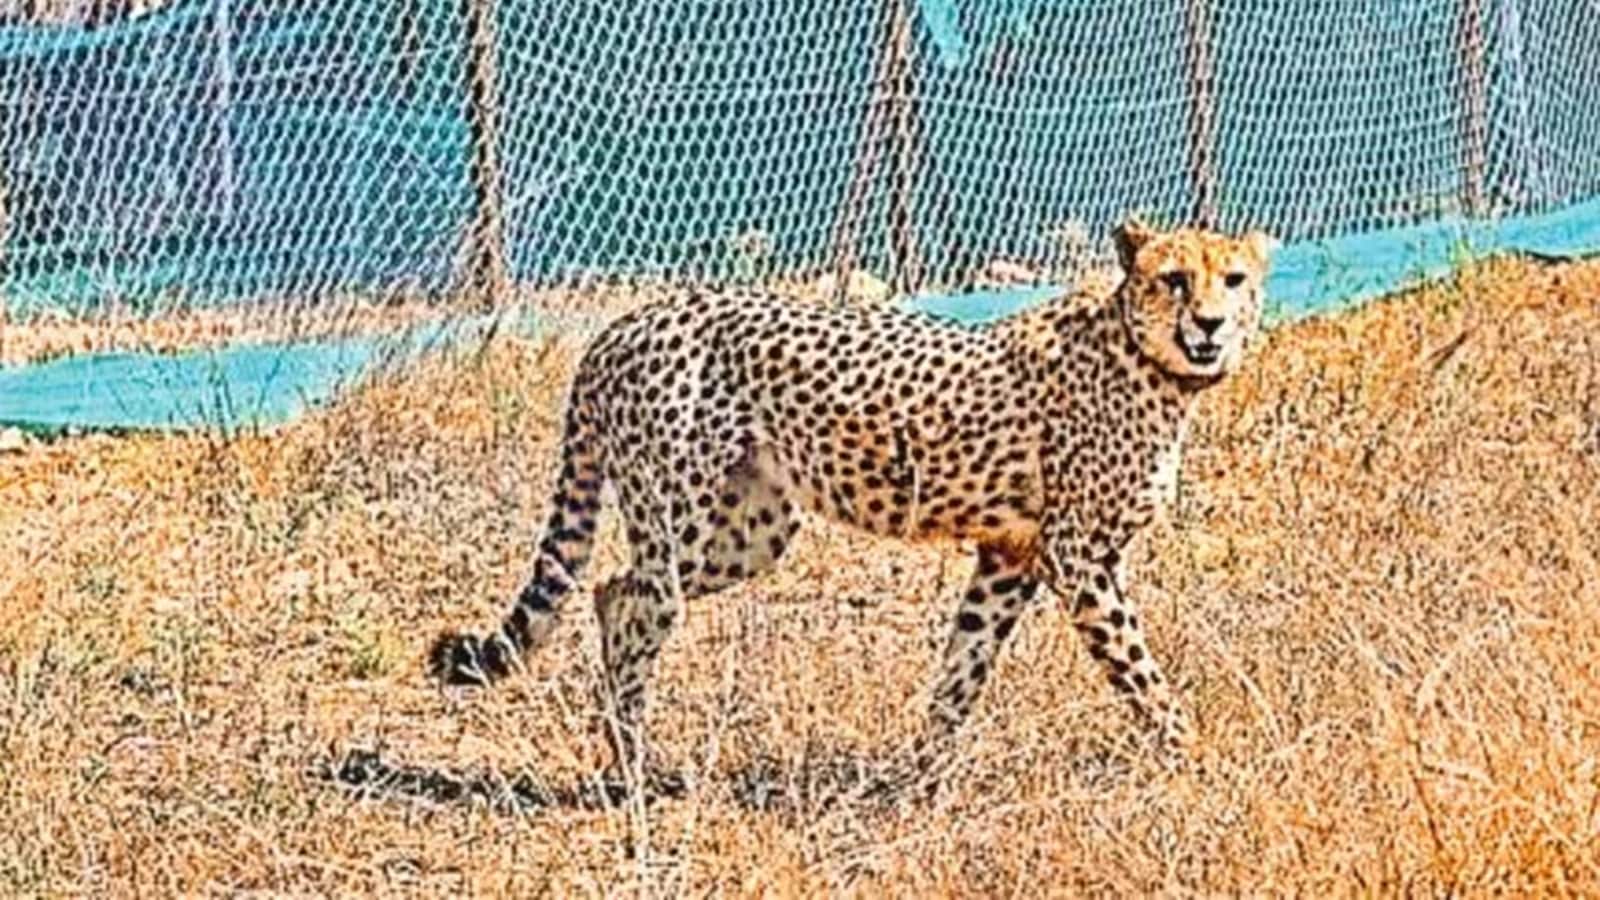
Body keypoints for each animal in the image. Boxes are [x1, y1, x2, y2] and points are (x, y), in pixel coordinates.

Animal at [428, 219, 1278, 781]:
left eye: (1233, 280)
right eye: (1175, 278)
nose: (1210, 323)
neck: (1151, 362)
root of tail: (626, 322)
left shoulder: (1011, 556)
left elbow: (962, 668)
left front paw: (920, 773)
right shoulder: (1078, 558)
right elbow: (1138, 666)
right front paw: (1192, 752)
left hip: (750, 532)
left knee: (611, 588)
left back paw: (624, 750)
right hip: (681, 517)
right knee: (640, 602)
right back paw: (636, 768)